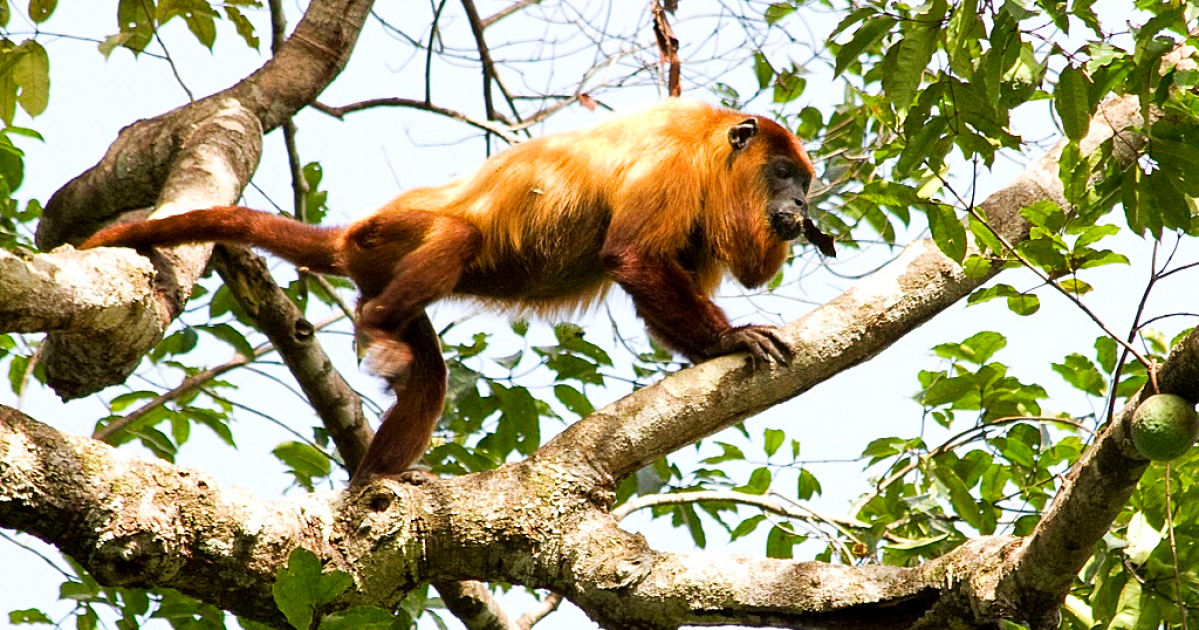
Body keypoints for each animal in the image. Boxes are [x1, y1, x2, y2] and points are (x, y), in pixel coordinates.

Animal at [80, 98, 836, 486]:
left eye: (804, 182)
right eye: (783, 174)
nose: (802, 206)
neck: (712, 145)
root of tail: (351, 236)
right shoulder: (671, 163)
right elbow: (629, 257)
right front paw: (730, 336)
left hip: (379, 265)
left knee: (429, 375)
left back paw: (372, 480)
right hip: (389, 238)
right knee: (455, 235)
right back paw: (381, 325)